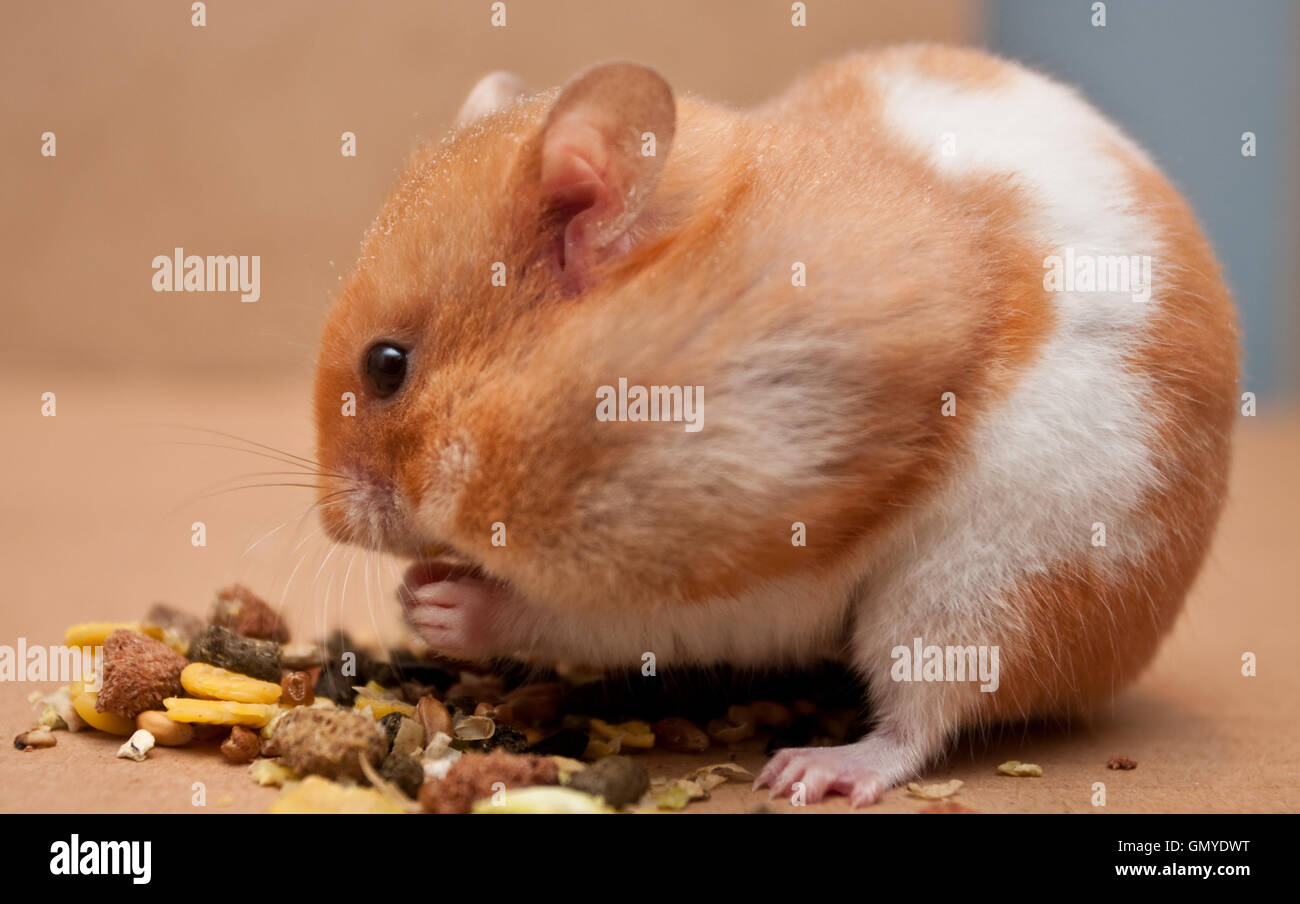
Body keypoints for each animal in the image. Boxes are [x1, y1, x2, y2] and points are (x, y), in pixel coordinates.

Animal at [313, 45, 1238, 806]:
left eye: (387, 365)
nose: (331, 525)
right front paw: (414, 591)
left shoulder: (752, 559)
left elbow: (598, 618)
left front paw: (435, 602)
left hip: (976, 591)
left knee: (925, 714)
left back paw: (811, 771)